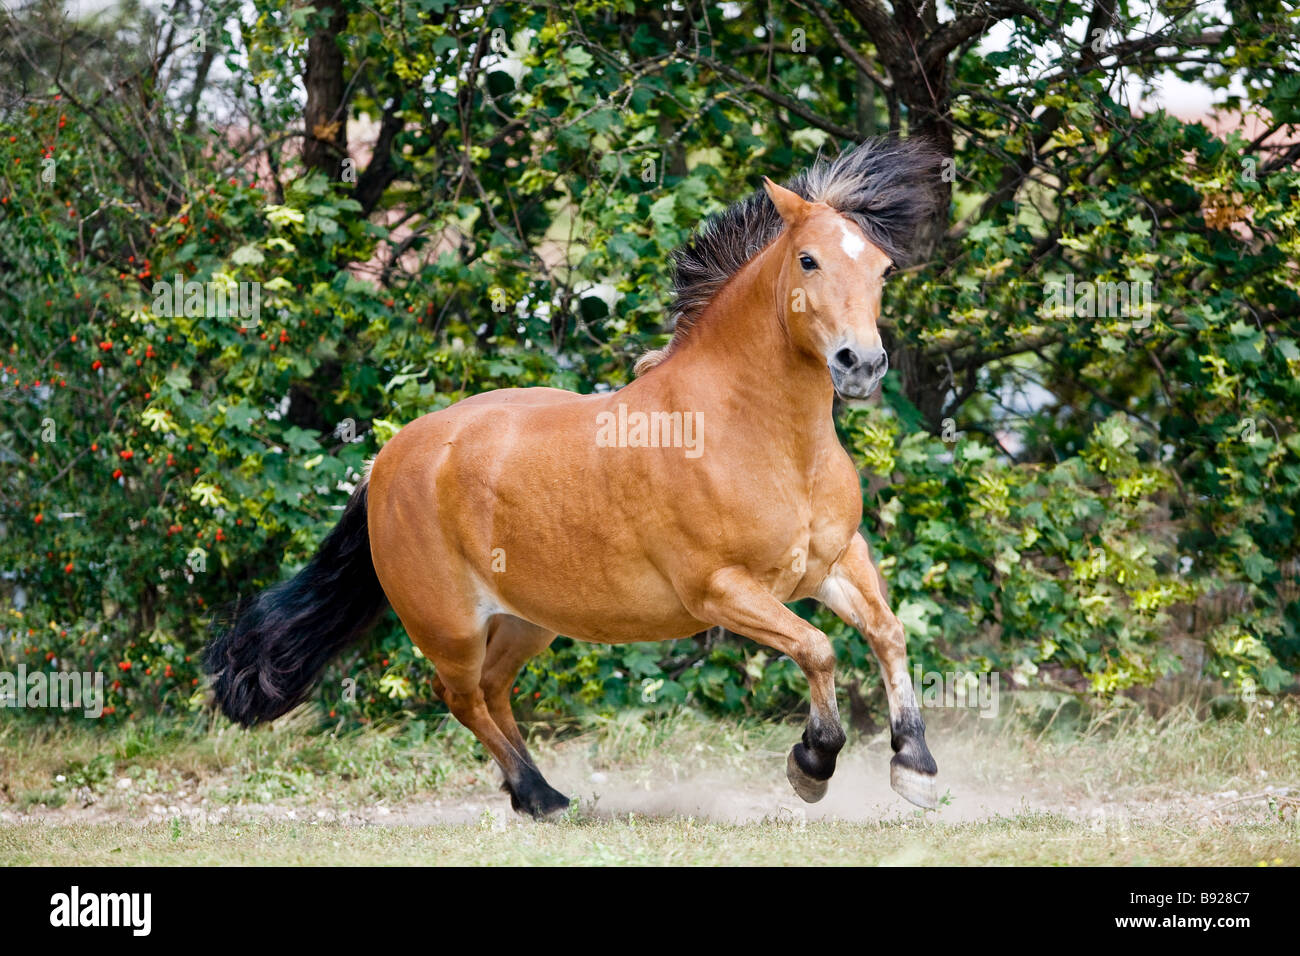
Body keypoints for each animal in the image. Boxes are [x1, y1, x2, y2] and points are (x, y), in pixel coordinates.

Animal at [205, 136, 943, 818]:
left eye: (881, 267)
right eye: (808, 259)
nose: (861, 364)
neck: (766, 440)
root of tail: (387, 460)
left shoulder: (833, 562)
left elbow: (888, 632)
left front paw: (915, 767)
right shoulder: (722, 591)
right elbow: (818, 649)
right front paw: (812, 763)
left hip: (528, 619)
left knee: (493, 690)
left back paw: (538, 795)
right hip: (451, 627)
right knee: (461, 695)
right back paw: (539, 796)